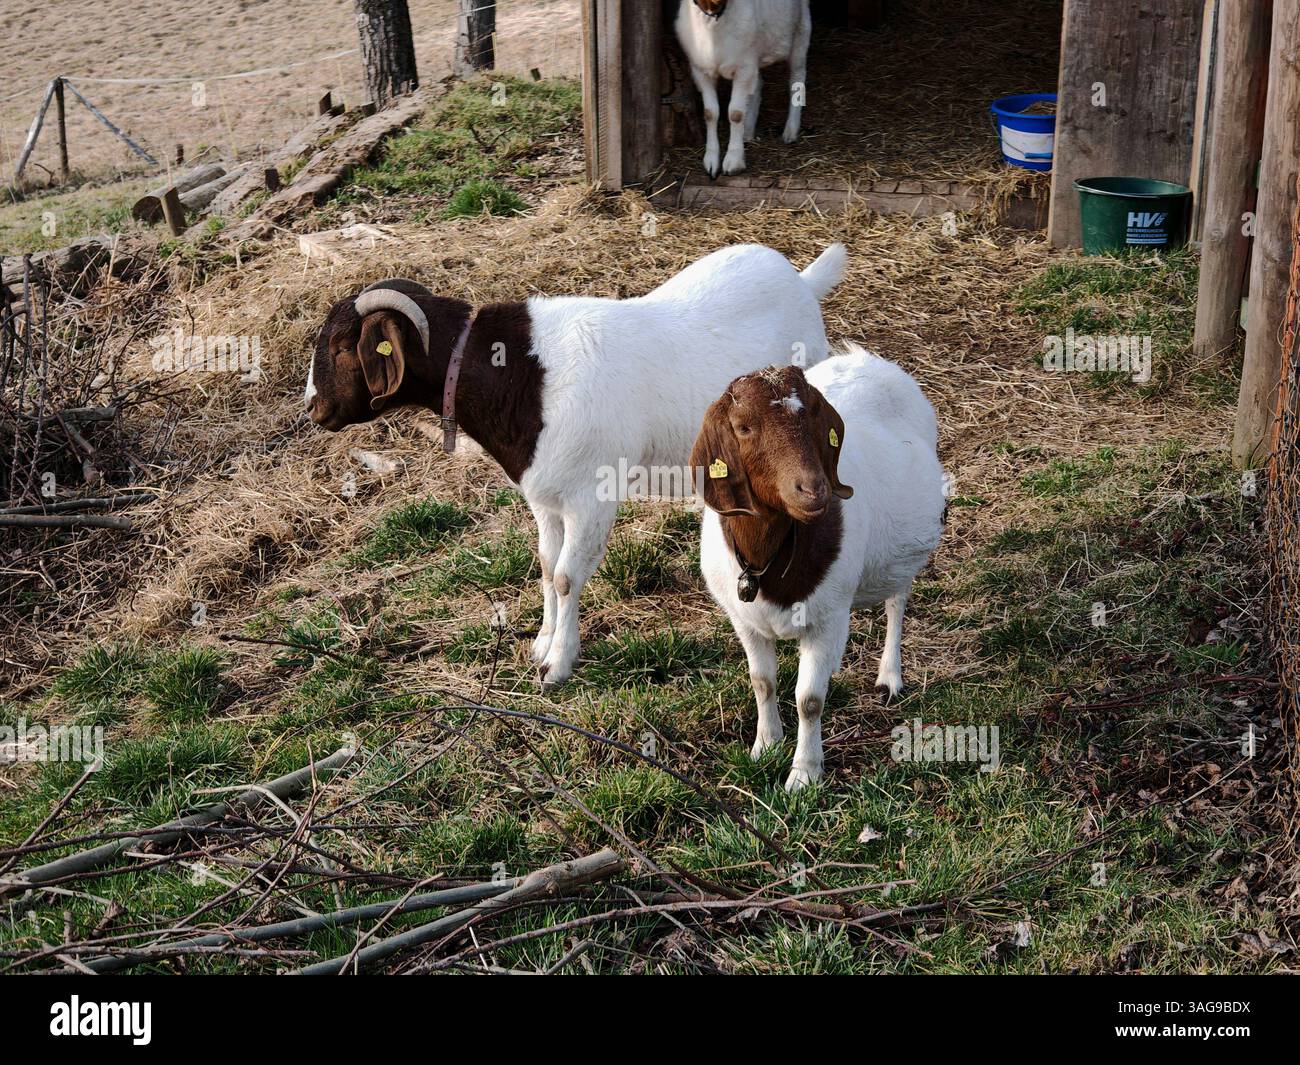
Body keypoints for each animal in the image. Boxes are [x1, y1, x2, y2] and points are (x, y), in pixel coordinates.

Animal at [305, 242, 848, 688]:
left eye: (341, 346)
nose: (311, 408)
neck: (521, 376)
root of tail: (803, 280)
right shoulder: (545, 499)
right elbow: (547, 566)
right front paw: (541, 644)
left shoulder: (592, 496)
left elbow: (567, 576)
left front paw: (557, 665)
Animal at [675, 0, 812, 177]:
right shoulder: (701, 70)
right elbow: (710, 113)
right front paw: (711, 160)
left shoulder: (743, 67)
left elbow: (735, 114)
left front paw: (734, 161)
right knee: (758, 85)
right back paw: (747, 131)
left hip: (800, 34)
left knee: (797, 80)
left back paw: (791, 130)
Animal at [690, 346, 944, 791]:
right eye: (742, 427)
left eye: (813, 414)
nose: (813, 489)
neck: (769, 561)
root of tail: (866, 358)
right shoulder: (744, 620)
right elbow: (762, 682)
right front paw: (765, 746)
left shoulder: (827, 619)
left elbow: (809, 699)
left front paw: (804, 774)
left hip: (900, 553)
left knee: (897, 601)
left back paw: (890, 676)